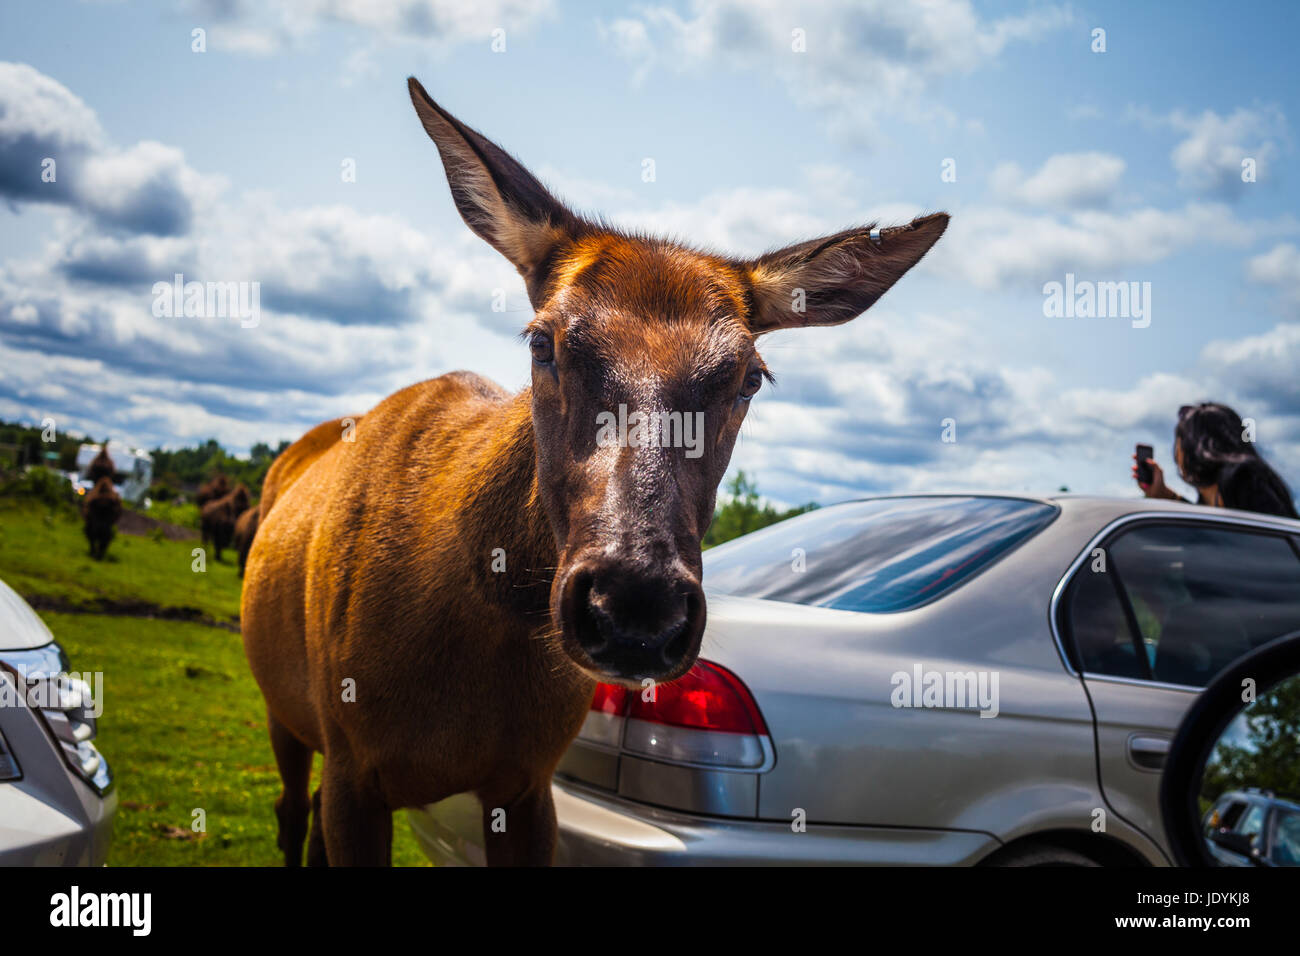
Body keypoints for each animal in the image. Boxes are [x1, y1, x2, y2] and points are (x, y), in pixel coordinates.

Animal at [239, 77, 948, 867]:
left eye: (750, 376)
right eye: (542, 341)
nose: (635, 606)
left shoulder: (526, 782)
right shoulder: (352, 766)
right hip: (284, 709)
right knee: (288, 809)